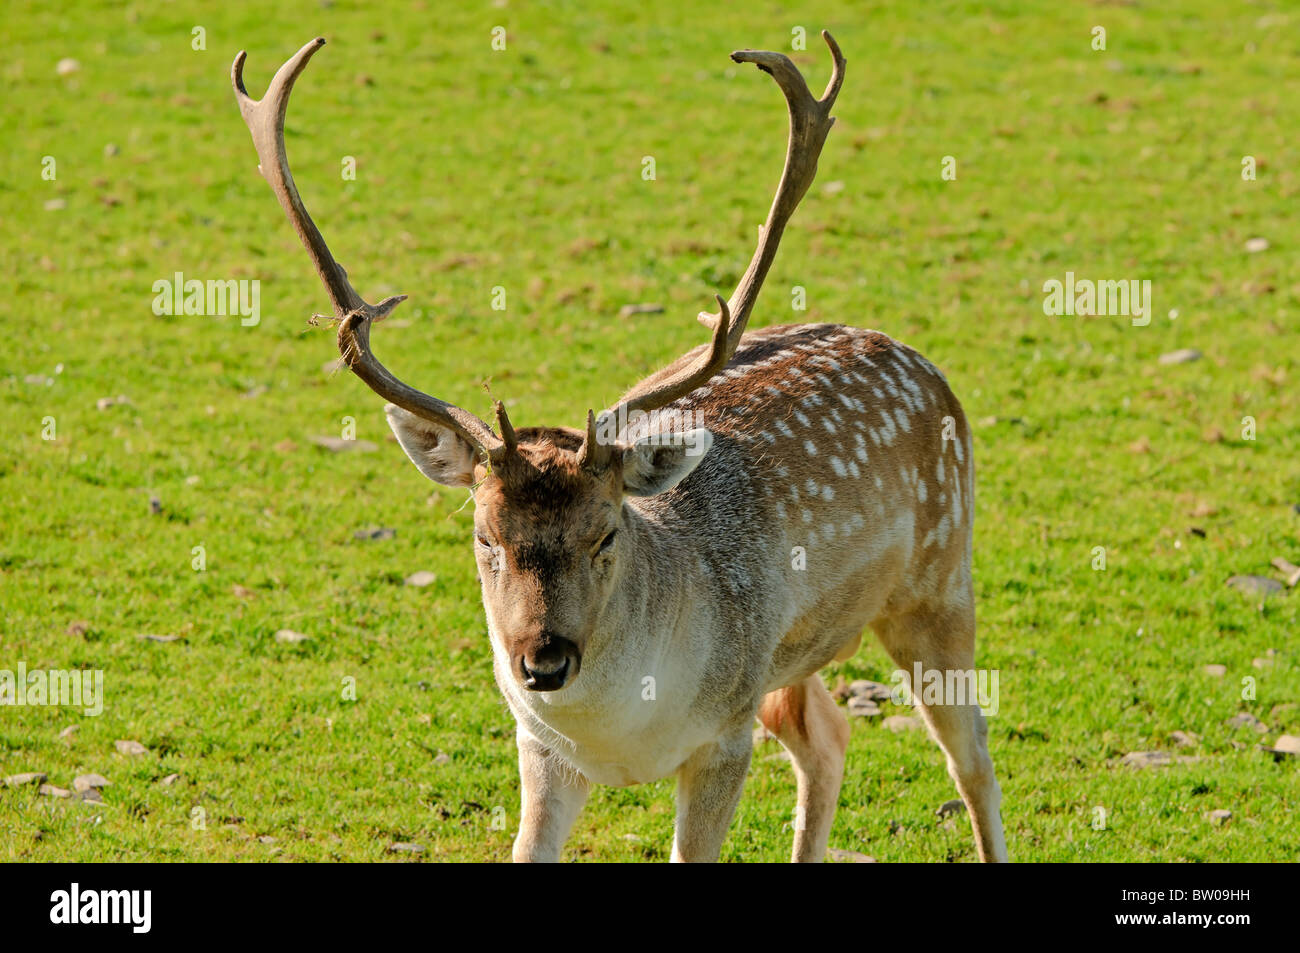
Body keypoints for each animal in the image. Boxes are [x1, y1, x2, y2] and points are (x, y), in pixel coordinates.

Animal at [232, 31, 1007, 863]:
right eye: (484, 537)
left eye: (605, 533)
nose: (542, 660)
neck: (619, 736)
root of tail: (919, 360)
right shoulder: (542, 750)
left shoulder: (724, 735)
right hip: (790, 660)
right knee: (827, 734)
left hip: (939, 581)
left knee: (973, 757)